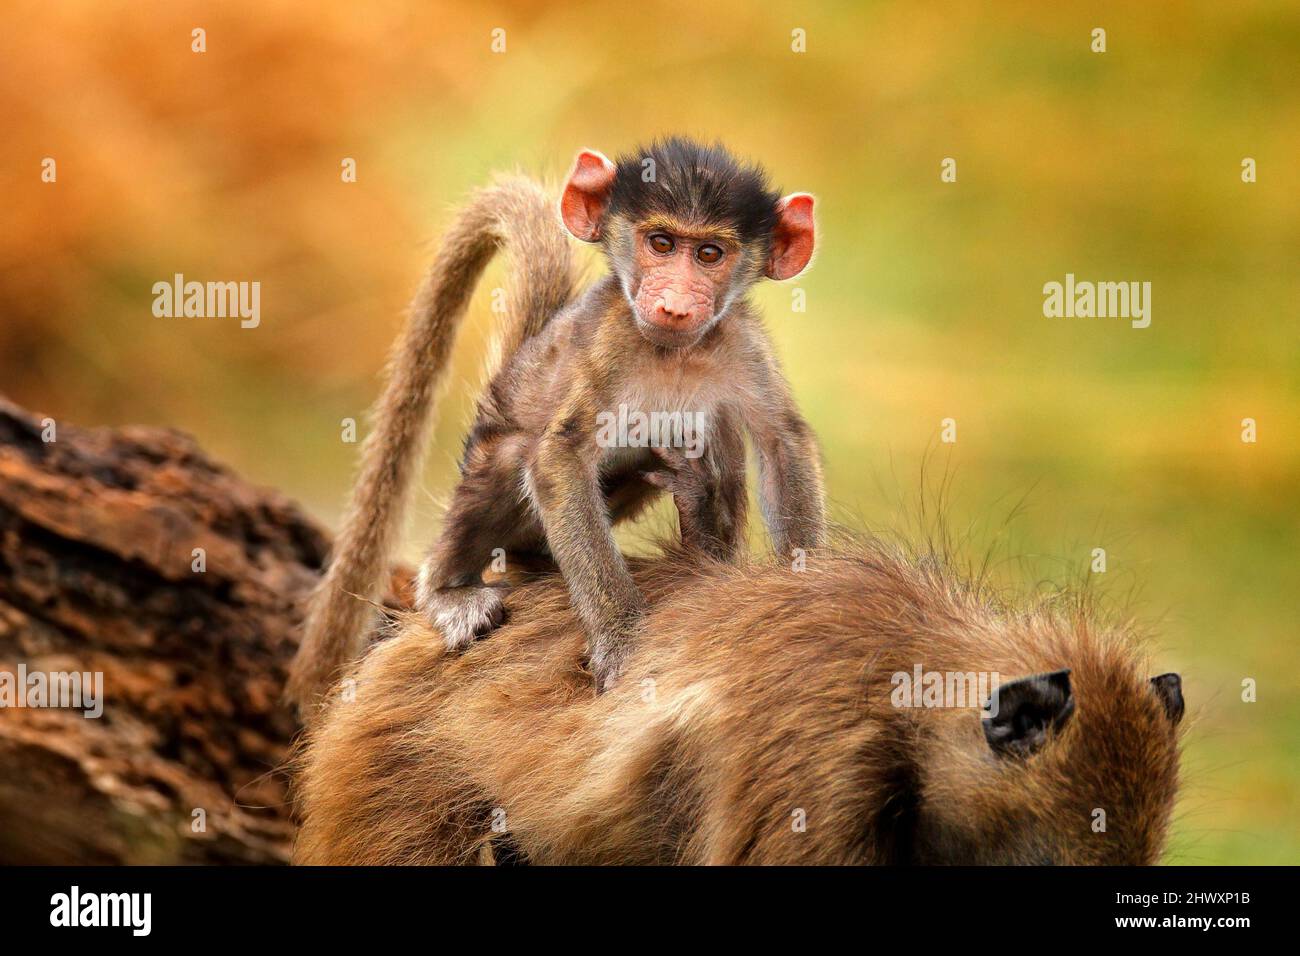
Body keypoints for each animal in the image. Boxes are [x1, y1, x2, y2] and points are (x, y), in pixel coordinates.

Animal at [289, 137, 824, 712]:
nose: (675, 305)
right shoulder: (611, 343)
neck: (673, 354)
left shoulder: (743, 343)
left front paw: (808, 592)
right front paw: (621, 641)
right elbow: (558, 455)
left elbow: (782, 440)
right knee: (512, 463)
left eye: (709, 254)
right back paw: (447, 588)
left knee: (709, 435)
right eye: (660, 243)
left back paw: (702, 536)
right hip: (490, 450)